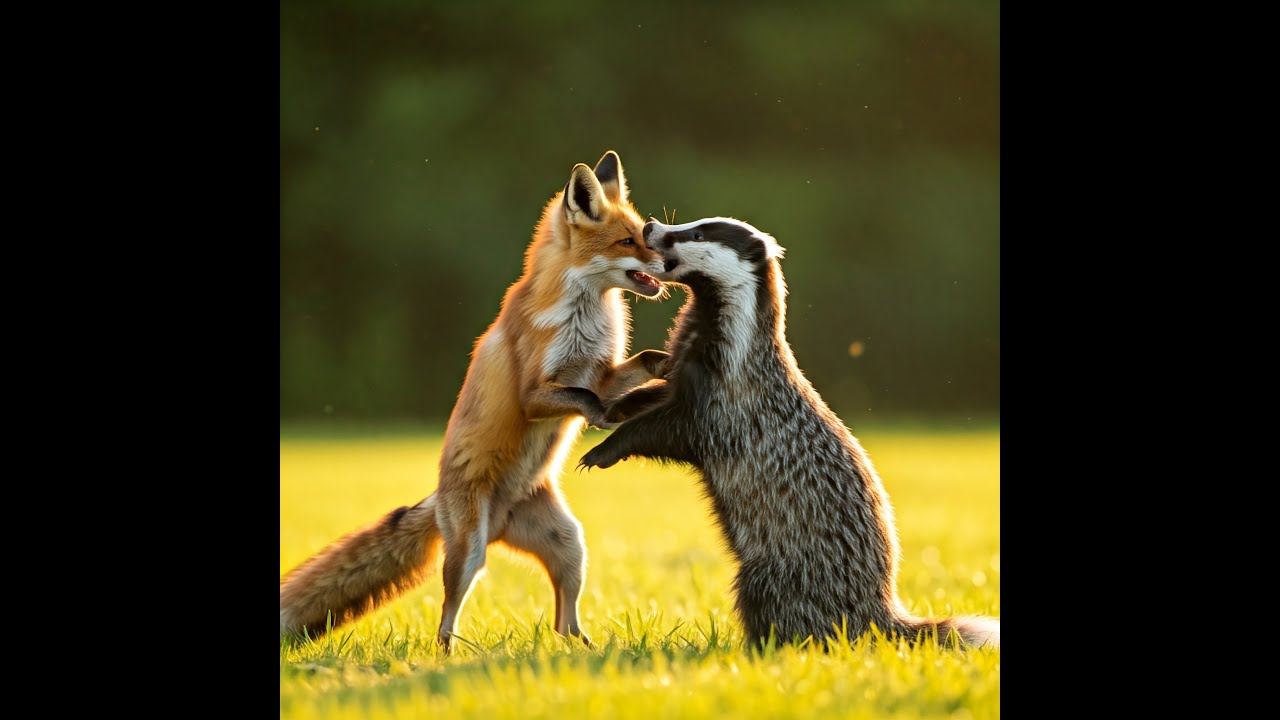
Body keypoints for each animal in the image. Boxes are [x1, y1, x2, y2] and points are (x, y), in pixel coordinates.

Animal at [280, 151, 672, 651]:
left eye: (644, 235)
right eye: (628, 241)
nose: (668, 259)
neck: (584, 316)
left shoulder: (602, 373)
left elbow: (639, 363)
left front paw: (668, 367)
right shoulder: (535, 392)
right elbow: (582, 398)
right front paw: (609, 417)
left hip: (569, 544)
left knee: (564, 620)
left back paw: (588, 648)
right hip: (468, 552)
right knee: (447, 616)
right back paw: (450, 653)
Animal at [581, 217, 1000, 650]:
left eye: (696, 233)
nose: (652, 226)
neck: (735, 342)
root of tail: (879, 614)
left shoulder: (725, 405)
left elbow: (671, 429)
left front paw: (603, 451)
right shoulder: (688, 367)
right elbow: (656, 396)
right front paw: (610, 408)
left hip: (781, 569)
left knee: (769, 601)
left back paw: (763, 645)